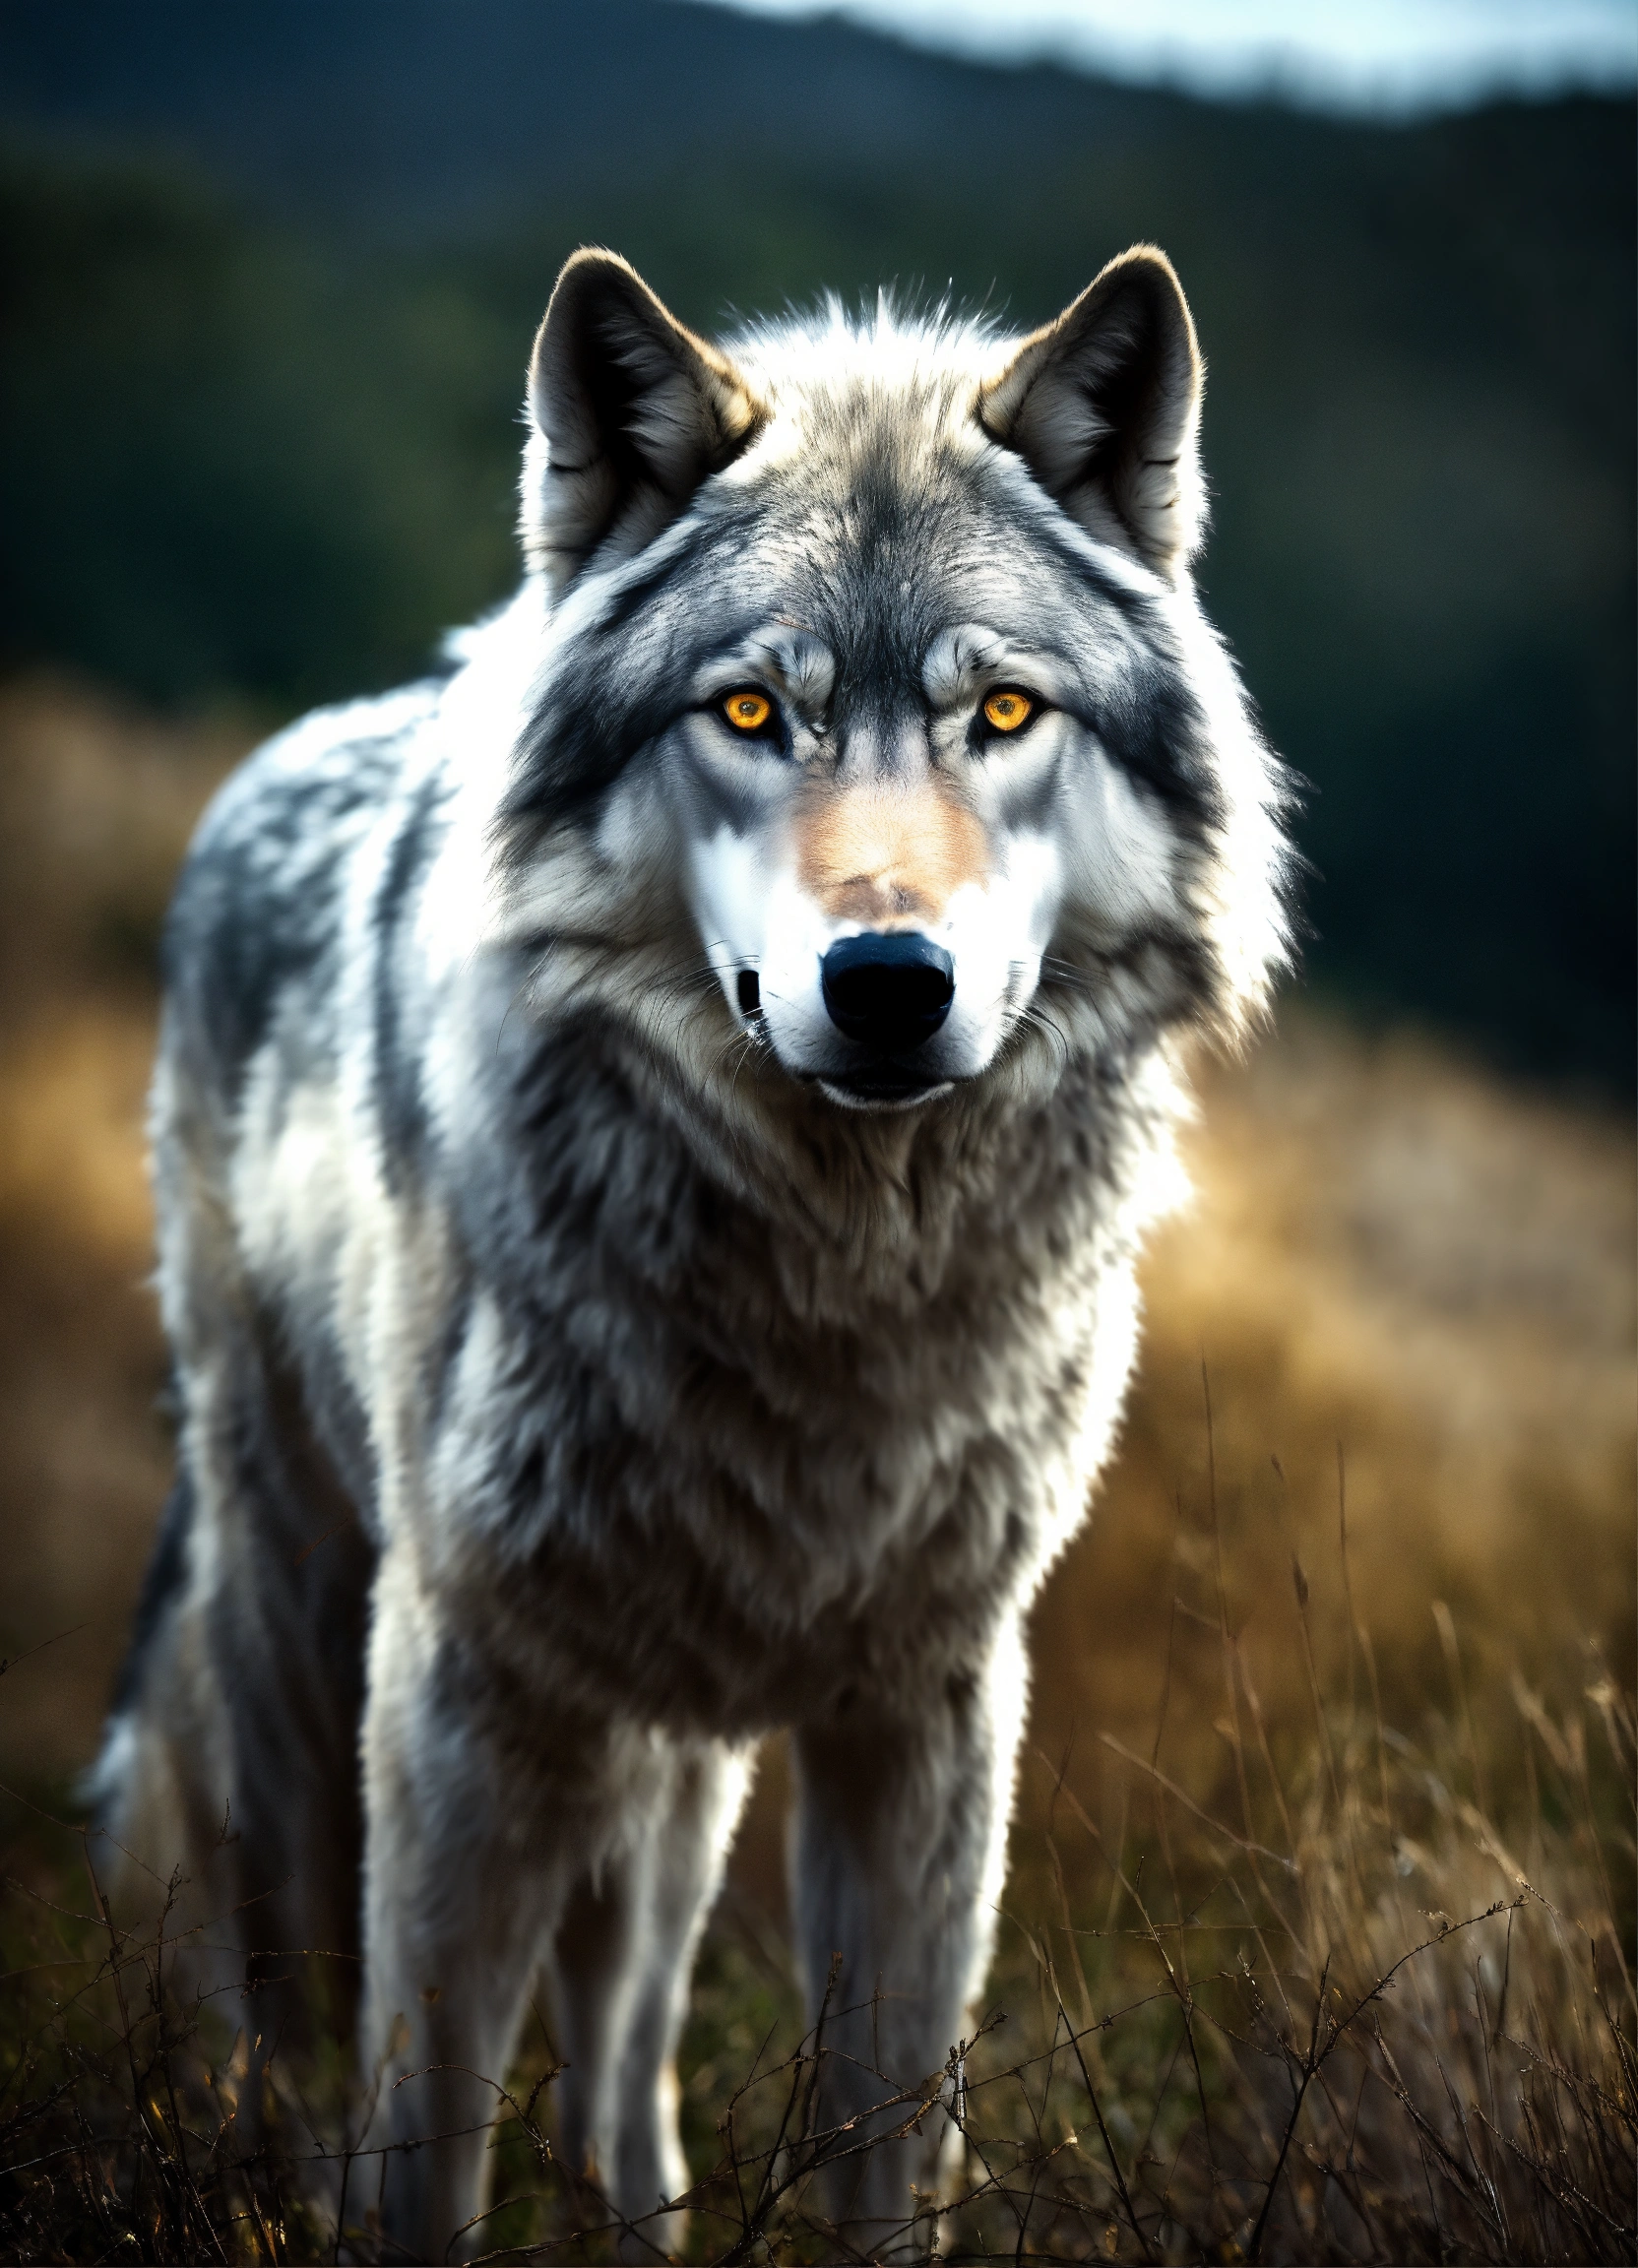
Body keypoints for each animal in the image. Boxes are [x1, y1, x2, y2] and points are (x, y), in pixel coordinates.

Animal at [90, 243, 1289, 2258]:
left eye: (1002, 714)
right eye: (746, 712)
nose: (886, 981)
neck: (829, 1281)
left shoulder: (931, 1707)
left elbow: (885, 2138)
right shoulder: (462, 1694)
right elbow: (422, 2142)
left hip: (672, 1761)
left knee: (624, 2072)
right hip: (298, 1640)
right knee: (290, 2021)